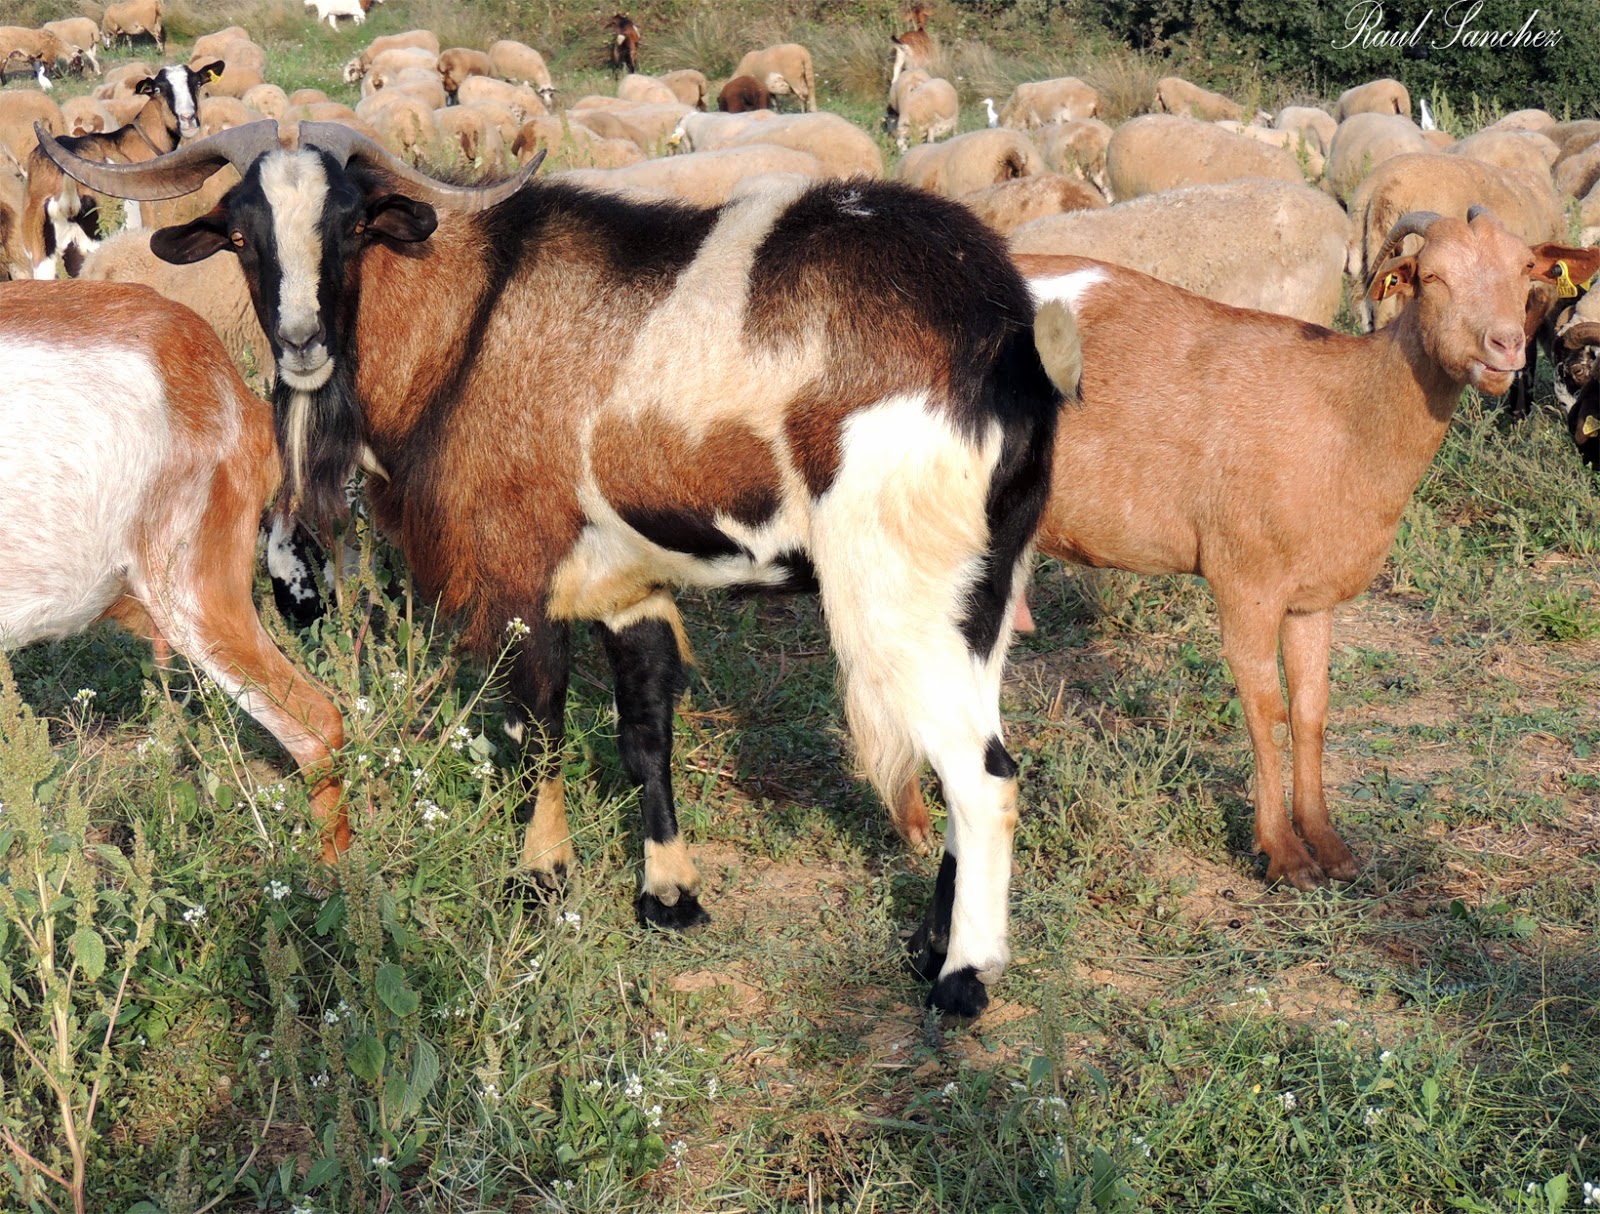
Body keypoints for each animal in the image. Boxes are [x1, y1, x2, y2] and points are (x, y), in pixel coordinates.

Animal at [22, 63, 222, 278]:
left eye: (197, 83)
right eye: (158, 89)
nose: (188, 119)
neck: (133, 142)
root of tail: (64, 202)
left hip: (42, 259)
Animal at [889, 212, 1599, 888]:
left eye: (1526, 272)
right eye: (1432, 277)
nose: (1505, 347)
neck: (1346, 414)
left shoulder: (1312, 596)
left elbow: (1311, 711)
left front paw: (1330, 846)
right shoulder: (1244, 579)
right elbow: (1265, 712)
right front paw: (1284, 854)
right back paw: (916, 824)